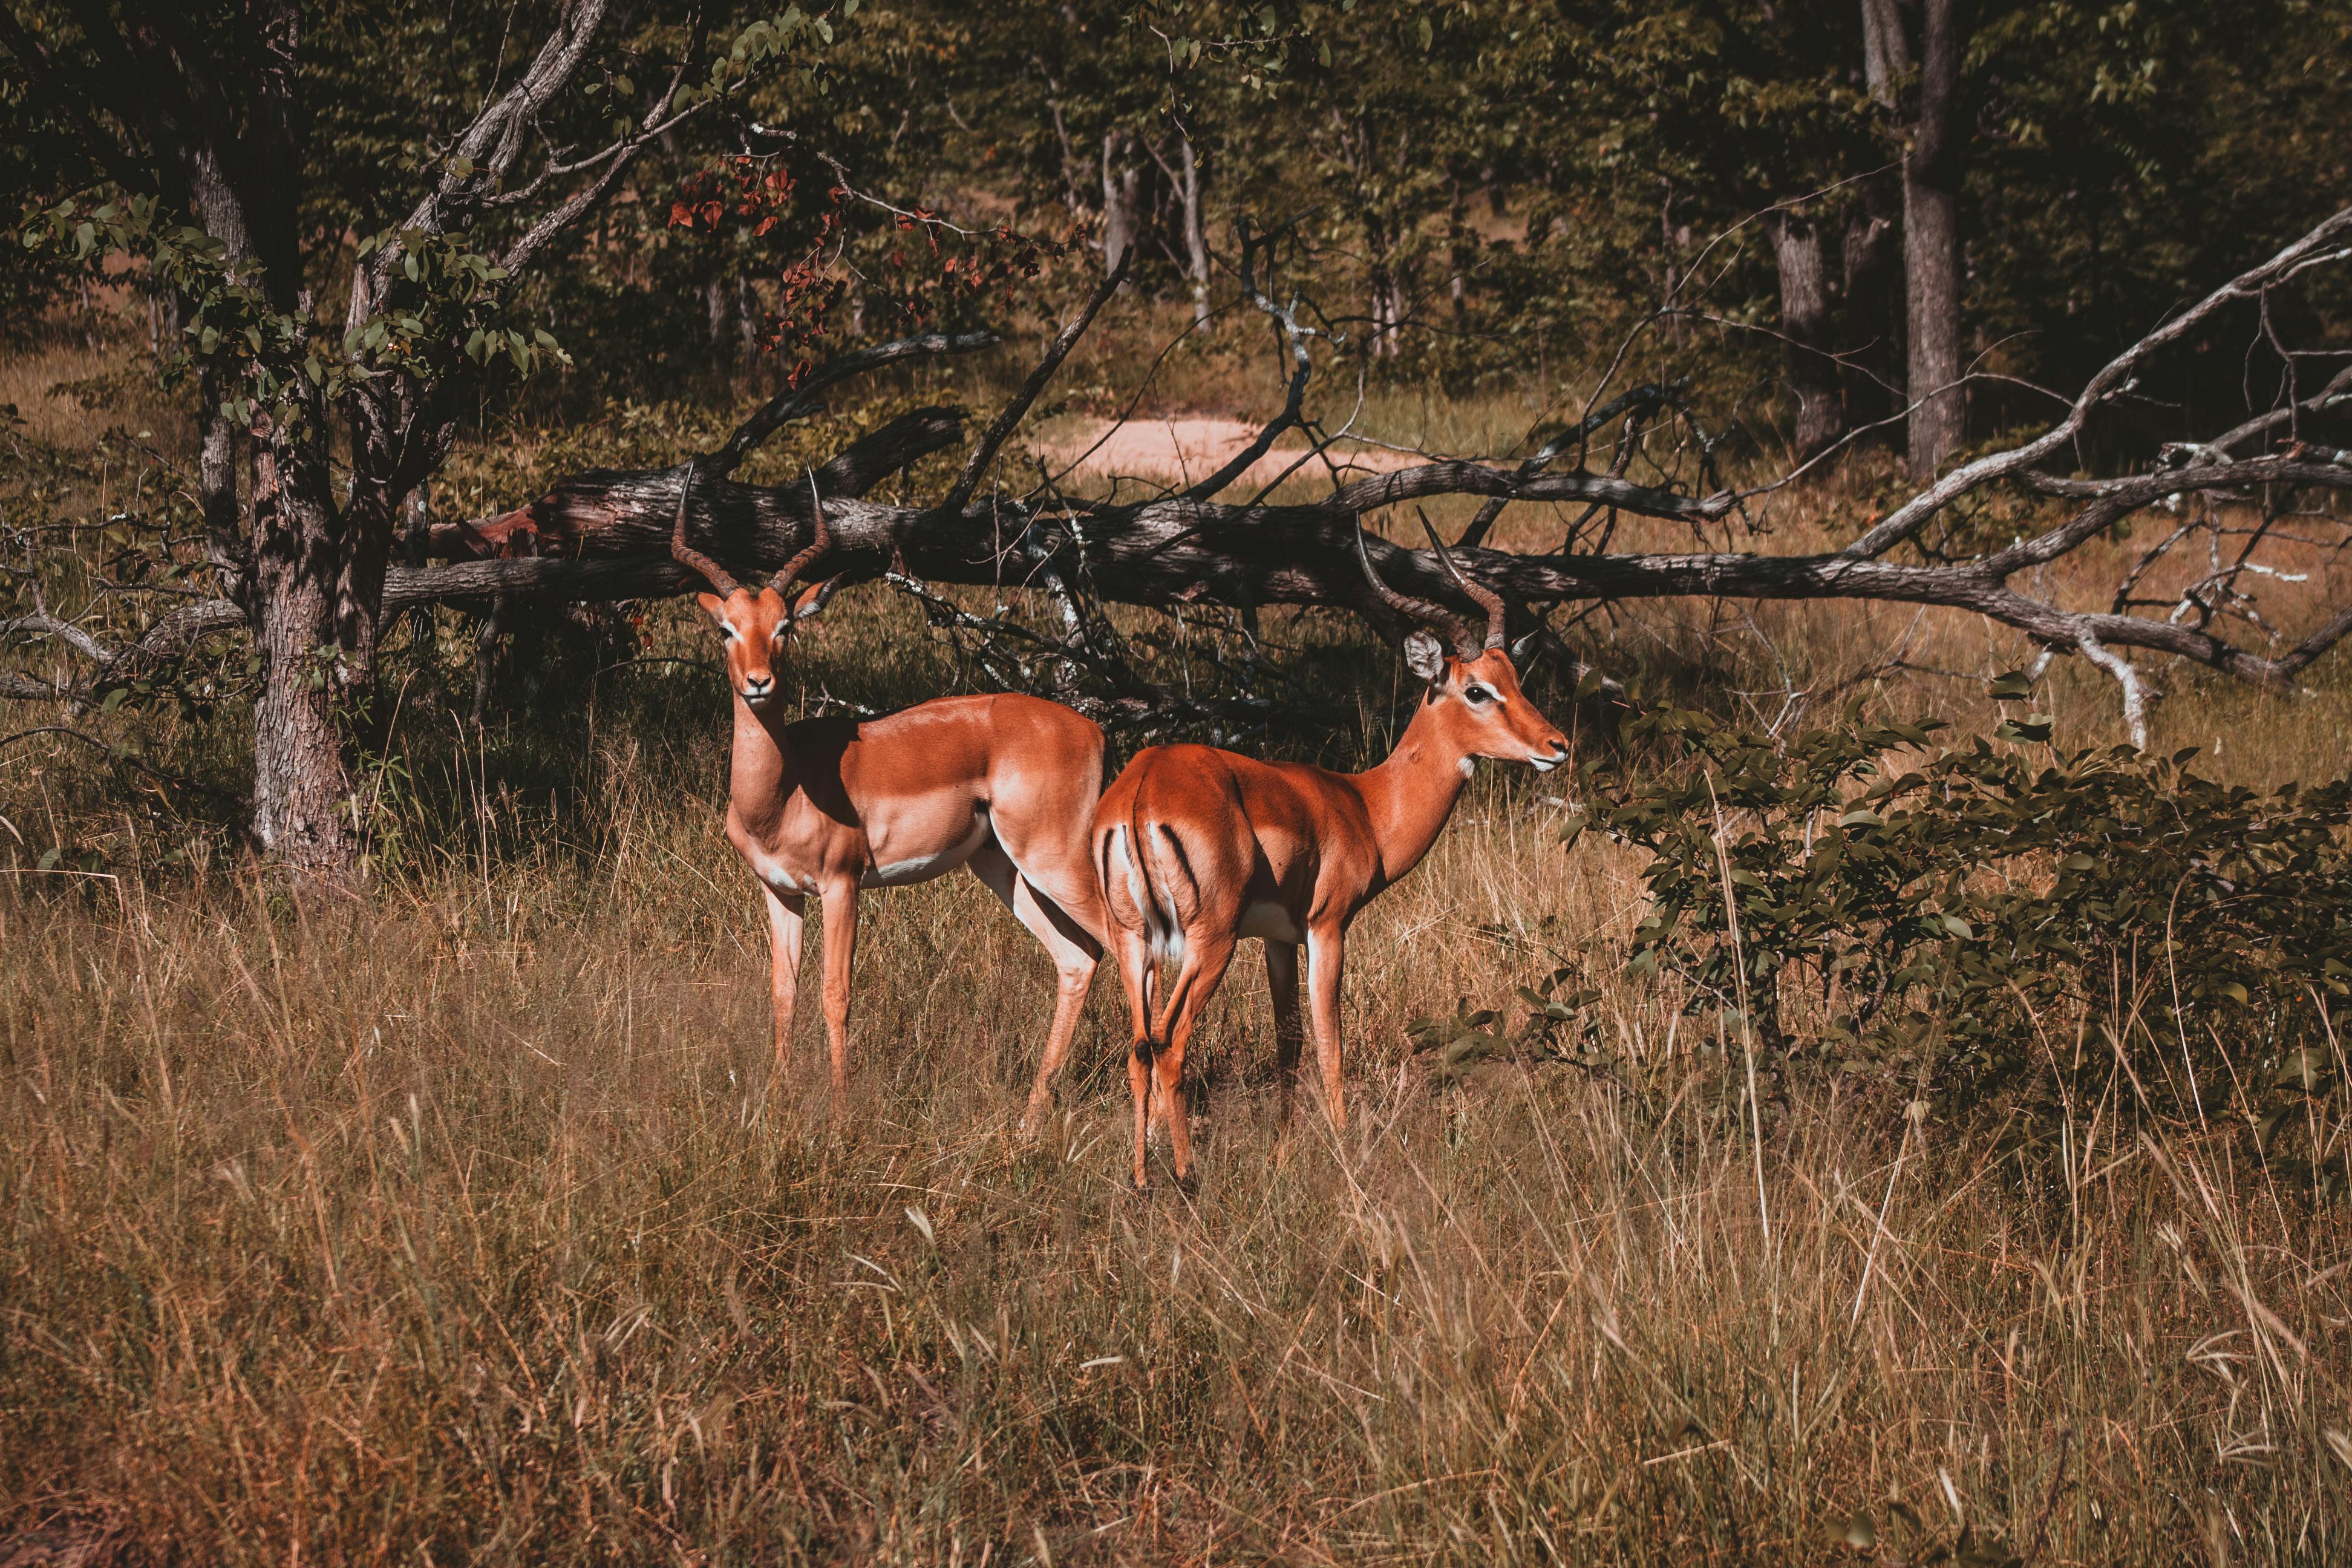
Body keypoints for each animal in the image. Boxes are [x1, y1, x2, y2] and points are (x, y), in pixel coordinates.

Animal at [670, 463, 1110, 1118]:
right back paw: (1032, 1116)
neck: (785, 790)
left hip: (1056, 859)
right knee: (1079, 959)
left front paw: (840, 1111)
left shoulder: (842, 884)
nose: (758, 681)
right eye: (727, 628)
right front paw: (777, 1102)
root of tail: (1092, 729)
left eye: (785, 625)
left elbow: (836, 993)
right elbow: (782, 993)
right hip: (1004, 868)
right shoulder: (781, 892)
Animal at [1092, 518, 1569, 1188]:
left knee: (1139, 1043)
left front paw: (1282, 1153)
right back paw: (1186, 1175)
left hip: (1135, 940)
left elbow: (1288, 1042)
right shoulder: (1328, 926)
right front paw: (1344, 1149)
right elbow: (1329, 1041)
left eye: (1516, 682)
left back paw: (1140, 1178)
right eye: (1477, 690)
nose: (1557, 745)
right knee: (1169, 1040)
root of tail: (1143, 786)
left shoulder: (1278, 938)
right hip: (1209, 942)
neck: (1363, 804)